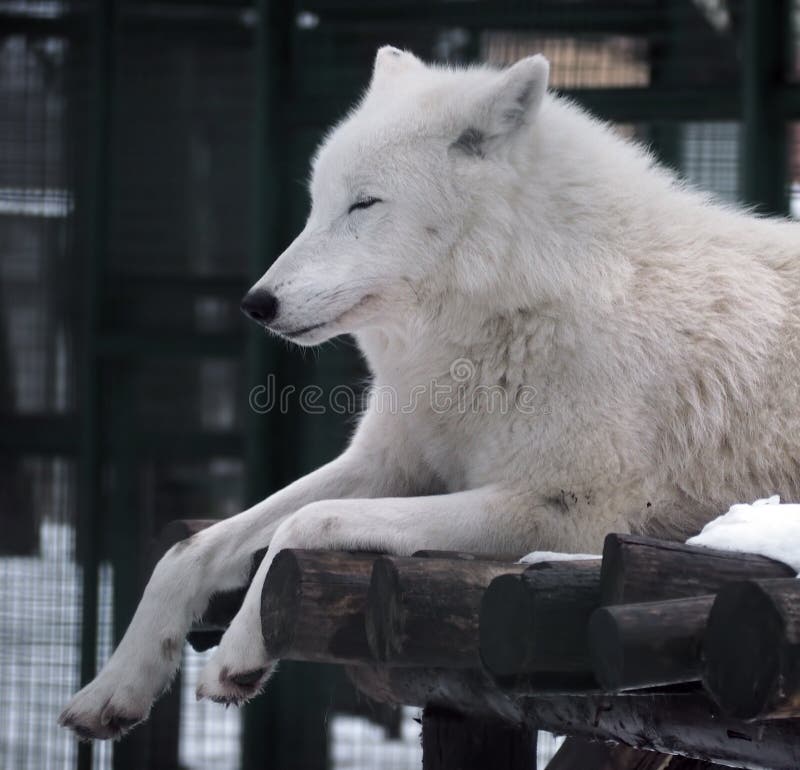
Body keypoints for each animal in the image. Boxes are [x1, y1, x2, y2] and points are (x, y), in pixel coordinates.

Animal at [60, 46, 800, 738]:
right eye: (317, 203)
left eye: (363, 204)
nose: (256, 304)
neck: (515, 308)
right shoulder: (391, 461)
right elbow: (190, 551)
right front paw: (113, 688)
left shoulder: (576, 512)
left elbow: (304, 526)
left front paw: (239, 653)